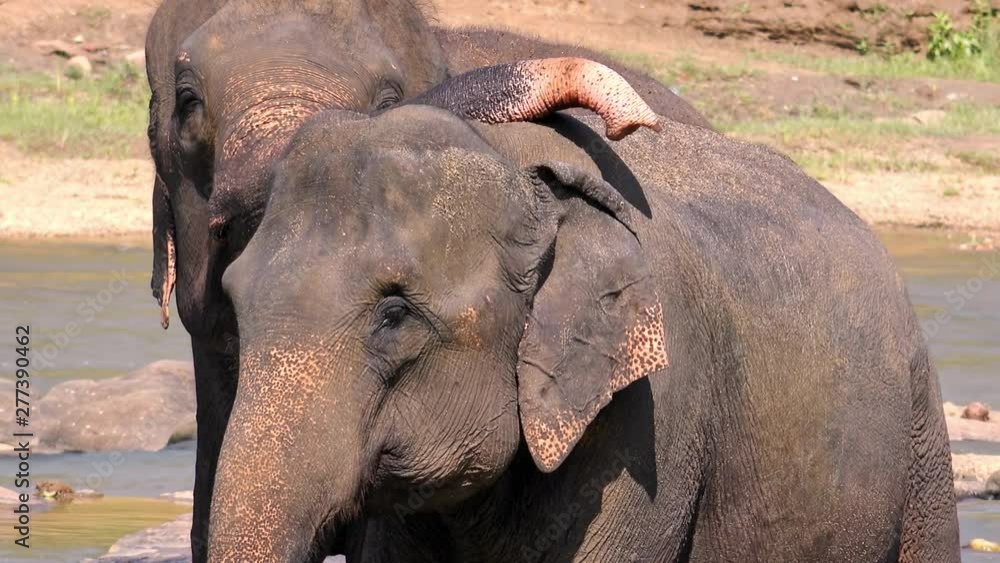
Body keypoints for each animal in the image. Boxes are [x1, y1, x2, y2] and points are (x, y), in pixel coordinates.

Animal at [210, 58, 960, 561]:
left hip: (920, 447)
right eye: (236, 308)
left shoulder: (651, 421)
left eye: (394, 316)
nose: (630, 122)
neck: (515, 160)